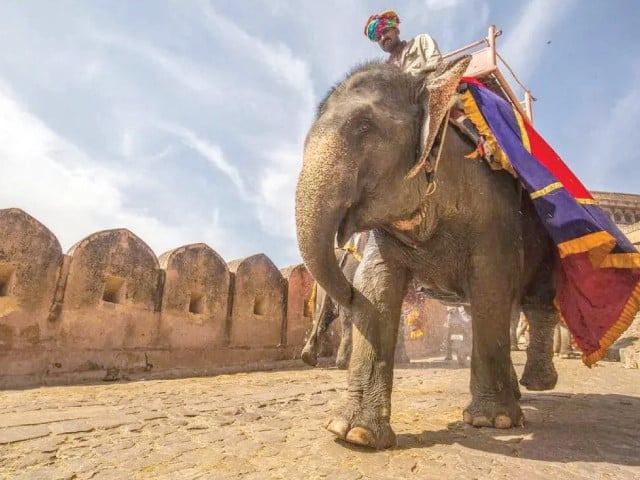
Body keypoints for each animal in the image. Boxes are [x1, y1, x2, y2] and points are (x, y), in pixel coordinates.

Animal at [295, 57, 560, 449]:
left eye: (363, 127)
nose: (347, 292)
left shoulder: (494, 213)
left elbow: (491, 286)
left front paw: (491, 421)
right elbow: (376, 287)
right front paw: (354, 434)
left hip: (544, 232)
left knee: (535, 302)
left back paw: (537, 384)